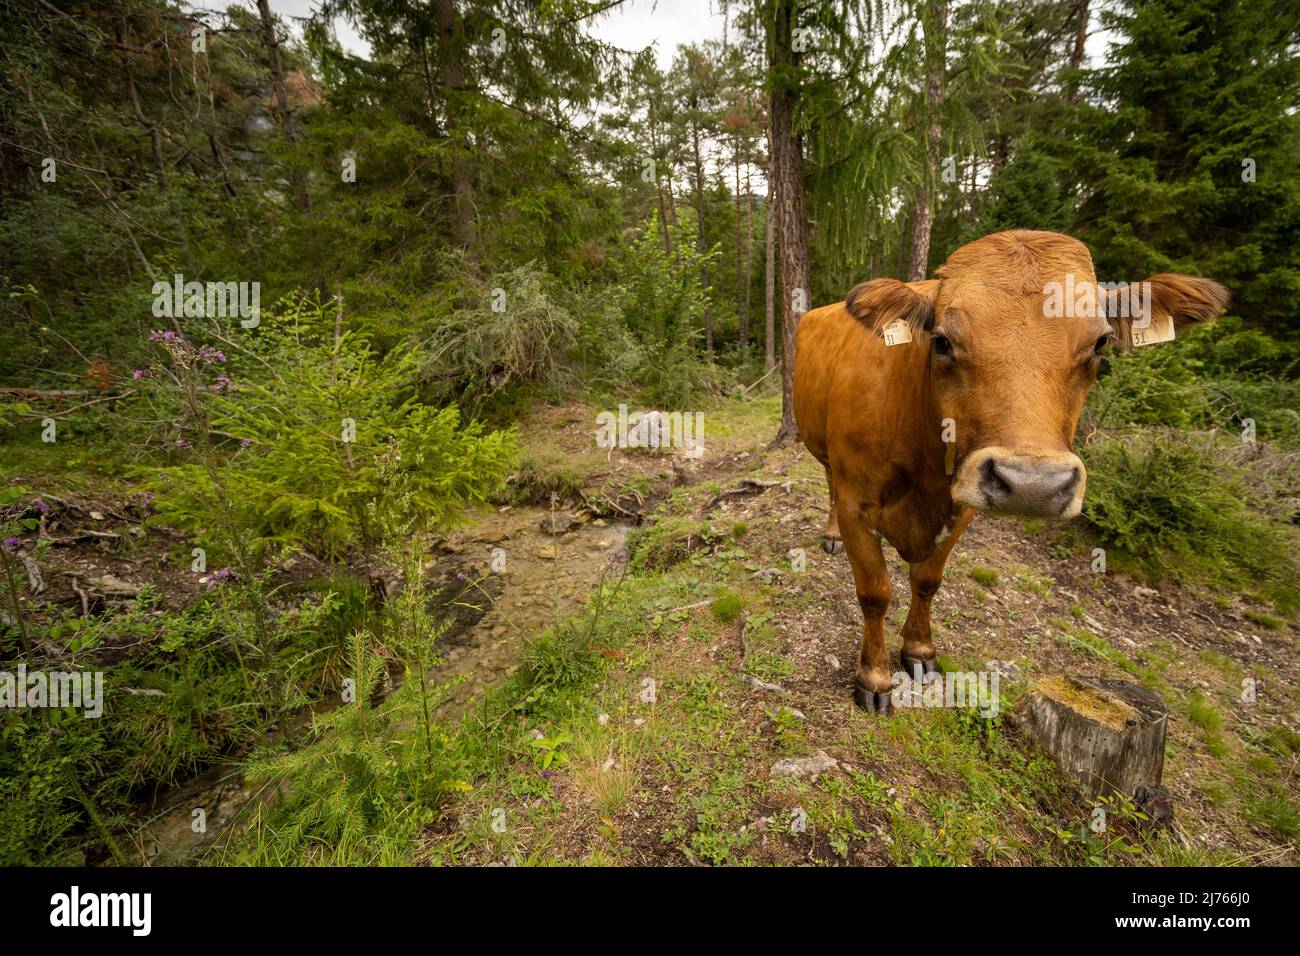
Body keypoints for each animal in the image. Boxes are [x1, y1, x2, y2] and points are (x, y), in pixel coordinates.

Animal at [793, 230, 1229, 713]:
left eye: (1101, 343)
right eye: (941, 341)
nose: (1032, 485)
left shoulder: (961, 505)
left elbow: (927, 580)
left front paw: (920, 650)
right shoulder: (858, 501)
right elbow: (875, 592)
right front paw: (873, 677)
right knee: (829, 486)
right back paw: (830, 535)